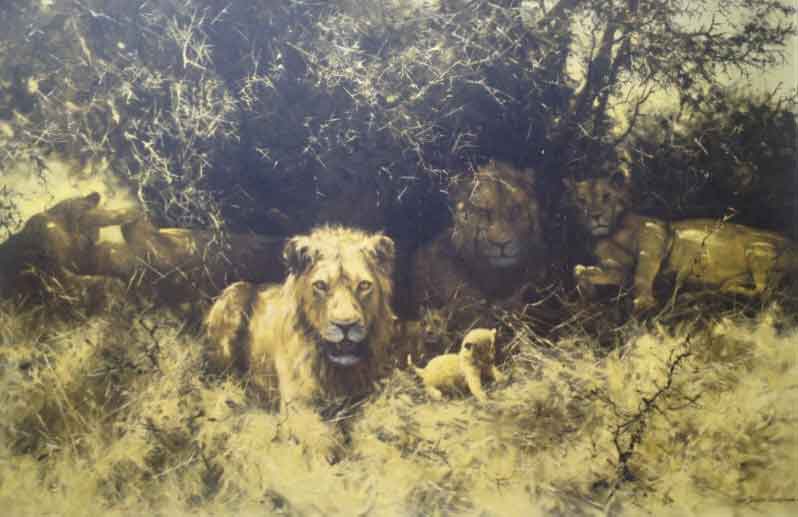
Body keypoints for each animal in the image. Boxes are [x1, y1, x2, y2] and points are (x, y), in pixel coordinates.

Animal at [204, 225, 397, 461]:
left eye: (364, 285)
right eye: (321, 285)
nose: (345, 325)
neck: (335, 371)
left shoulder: (366, 400)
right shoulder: (296, 406)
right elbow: (324, 444)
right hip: (234, 294)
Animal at [564, 173, 798, 312]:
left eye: (606, 196)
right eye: (581, 200)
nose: (595, 216)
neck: (609, 233)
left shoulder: (656, 234)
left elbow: (642, 271)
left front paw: (644, 301)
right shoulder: (618, 269)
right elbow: (579, 269)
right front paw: (588, 294)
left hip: (756, 250)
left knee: (764, 292)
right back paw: (698, 292)